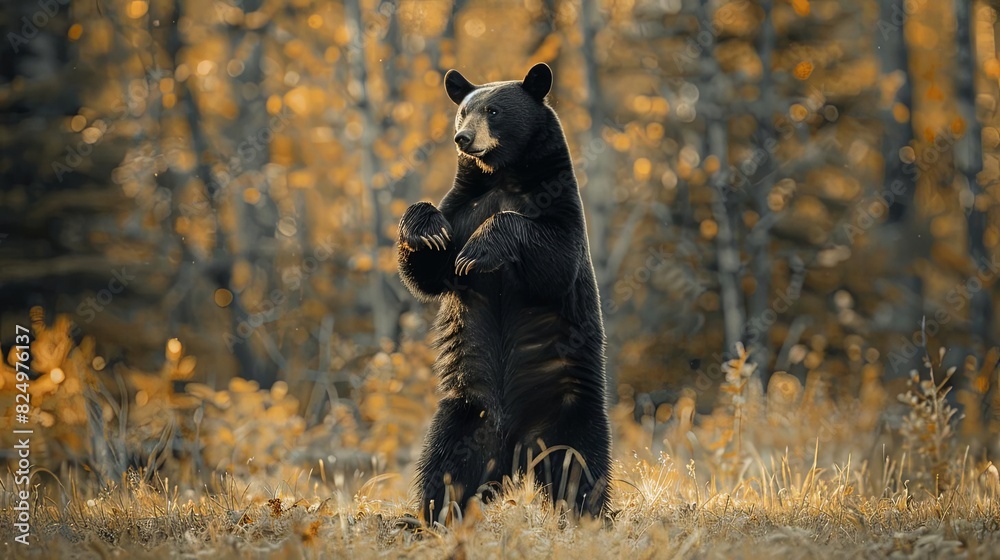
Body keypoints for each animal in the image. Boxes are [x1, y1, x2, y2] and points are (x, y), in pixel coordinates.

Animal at [396, 63, 612, 524]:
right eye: (463, 111)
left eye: (494, 111)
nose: (463, 139)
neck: (503, 176)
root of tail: (517, 446)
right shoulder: (463, 205)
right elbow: (429, 272)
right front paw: (425, 229)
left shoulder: (559, 206)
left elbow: (554, 258)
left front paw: (480, 250)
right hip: (465, 415)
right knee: (445, 467)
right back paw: (429, 517)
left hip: (570, 404)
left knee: (579, 466)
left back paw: (586, 517)